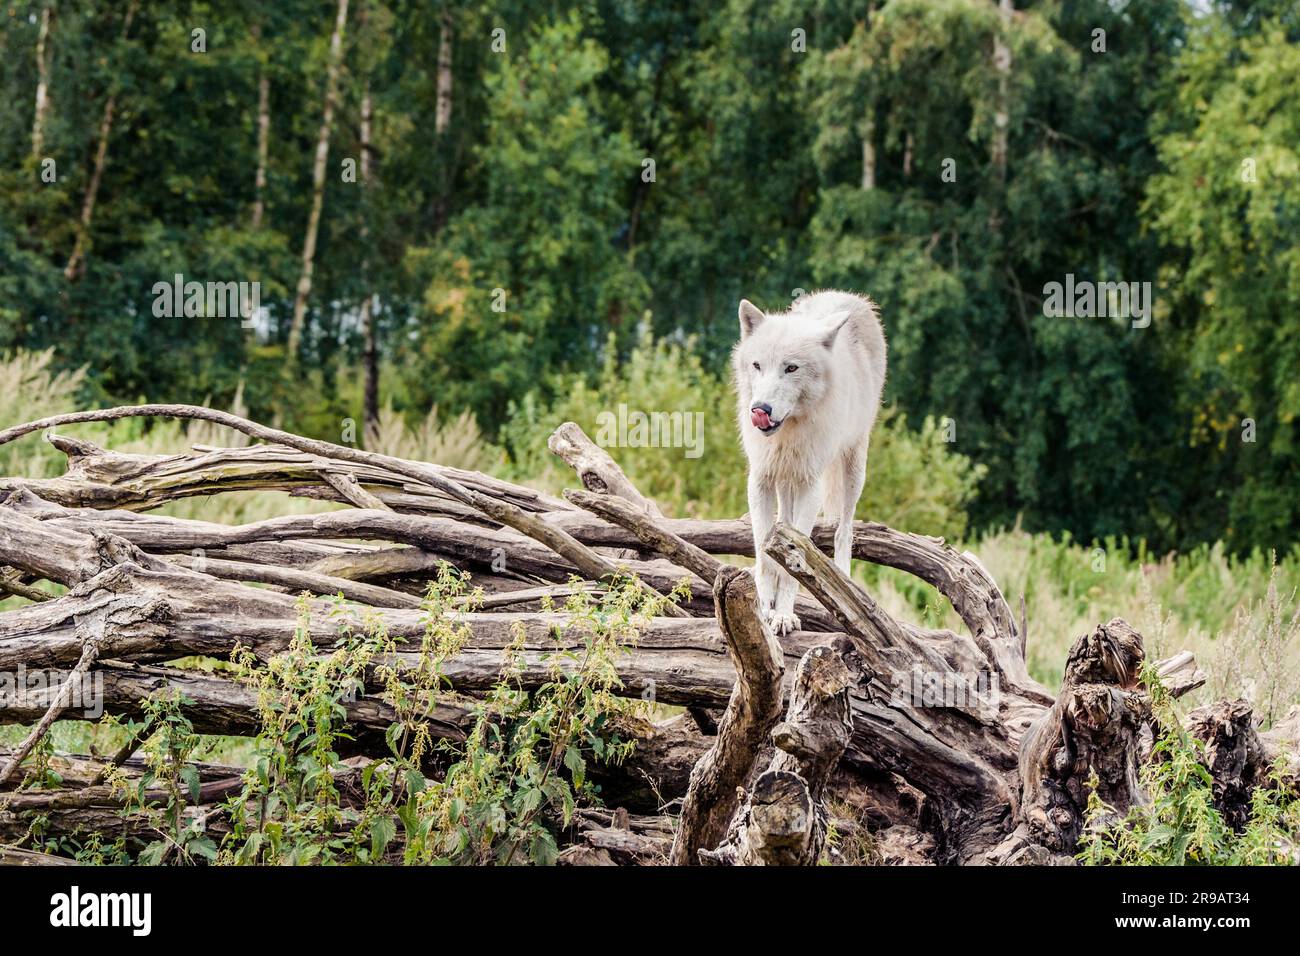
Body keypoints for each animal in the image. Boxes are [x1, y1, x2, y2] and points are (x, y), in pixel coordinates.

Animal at [732, 290, 887, 635]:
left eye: (791, 368)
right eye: (757, 365)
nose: (760, 409)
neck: (788, 432)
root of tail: (849, 296)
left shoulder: (810, 485)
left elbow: (796, 559)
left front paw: (784, 615)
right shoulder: (760, 479)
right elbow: (765, 554)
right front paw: (765, 610)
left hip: (854, 465)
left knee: (844, 531)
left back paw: (844, 583)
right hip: (785, 483)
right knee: (785, 525)